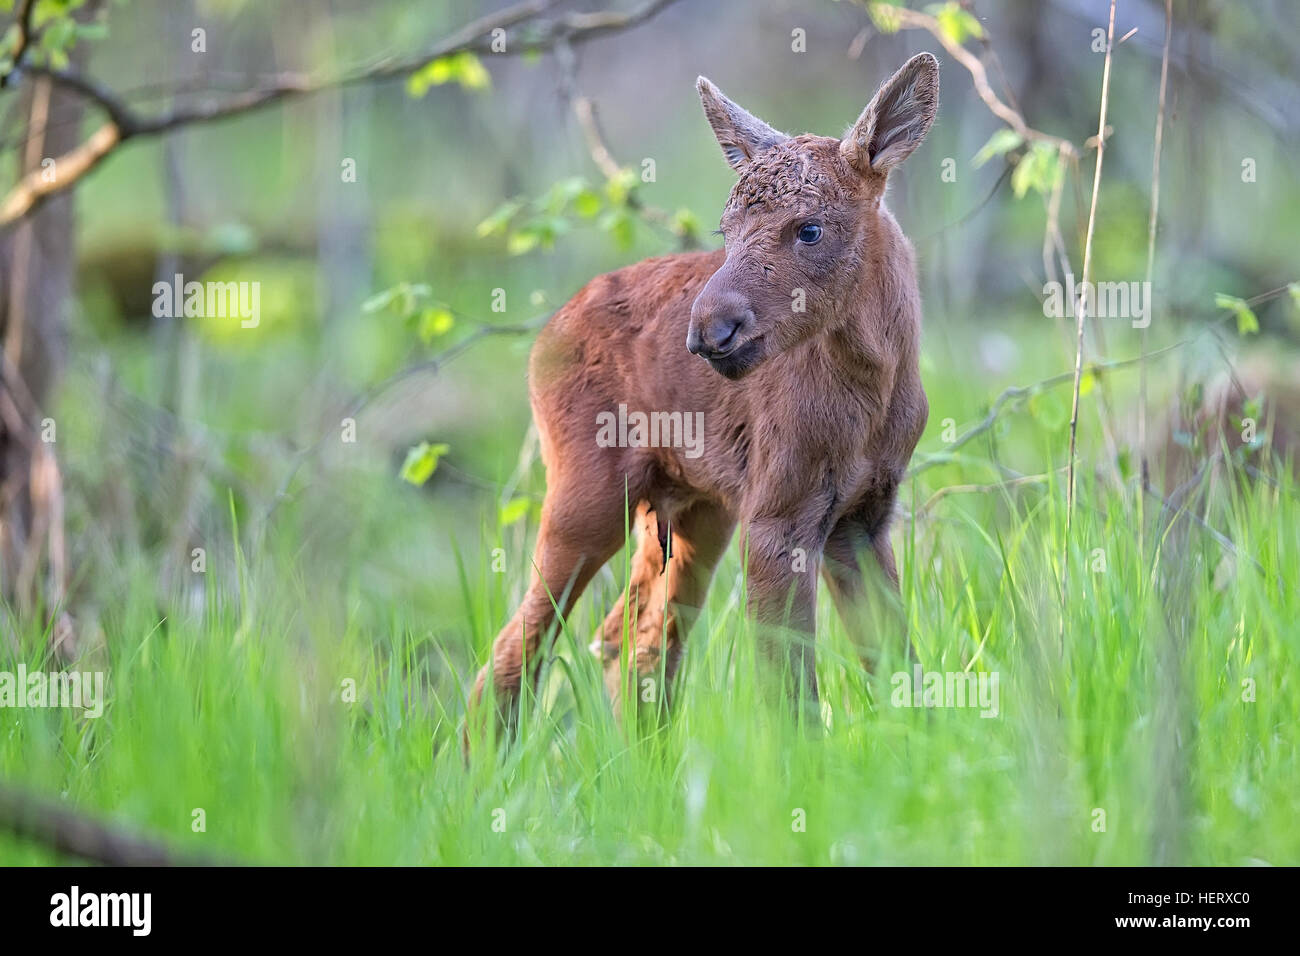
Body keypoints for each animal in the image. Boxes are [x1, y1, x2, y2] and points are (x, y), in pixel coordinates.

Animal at [465, 52, 938, 748]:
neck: (875, 389)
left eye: (810, 228)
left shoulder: (863, 515)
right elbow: (790, 691)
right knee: (521, 643)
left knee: (630, 637)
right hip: (588, 494)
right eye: (726, 227)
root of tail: (543, 337)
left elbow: (898, 664)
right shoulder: (778, 515)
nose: (710, 332)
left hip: (693, 509)